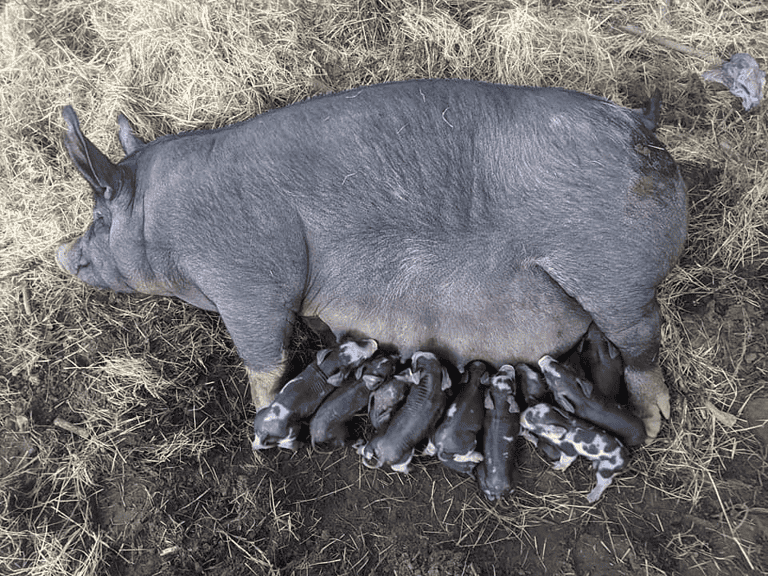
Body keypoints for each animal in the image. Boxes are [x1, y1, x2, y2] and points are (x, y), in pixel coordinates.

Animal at [56, 79, 687, 441]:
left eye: (98, 214)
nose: (63, 253)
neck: (163, 227)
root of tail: (640, 123)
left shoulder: (247, 276)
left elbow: (264, 356)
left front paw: (259, 420)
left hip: (611, 264)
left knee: (642, 334)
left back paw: (656, 422)